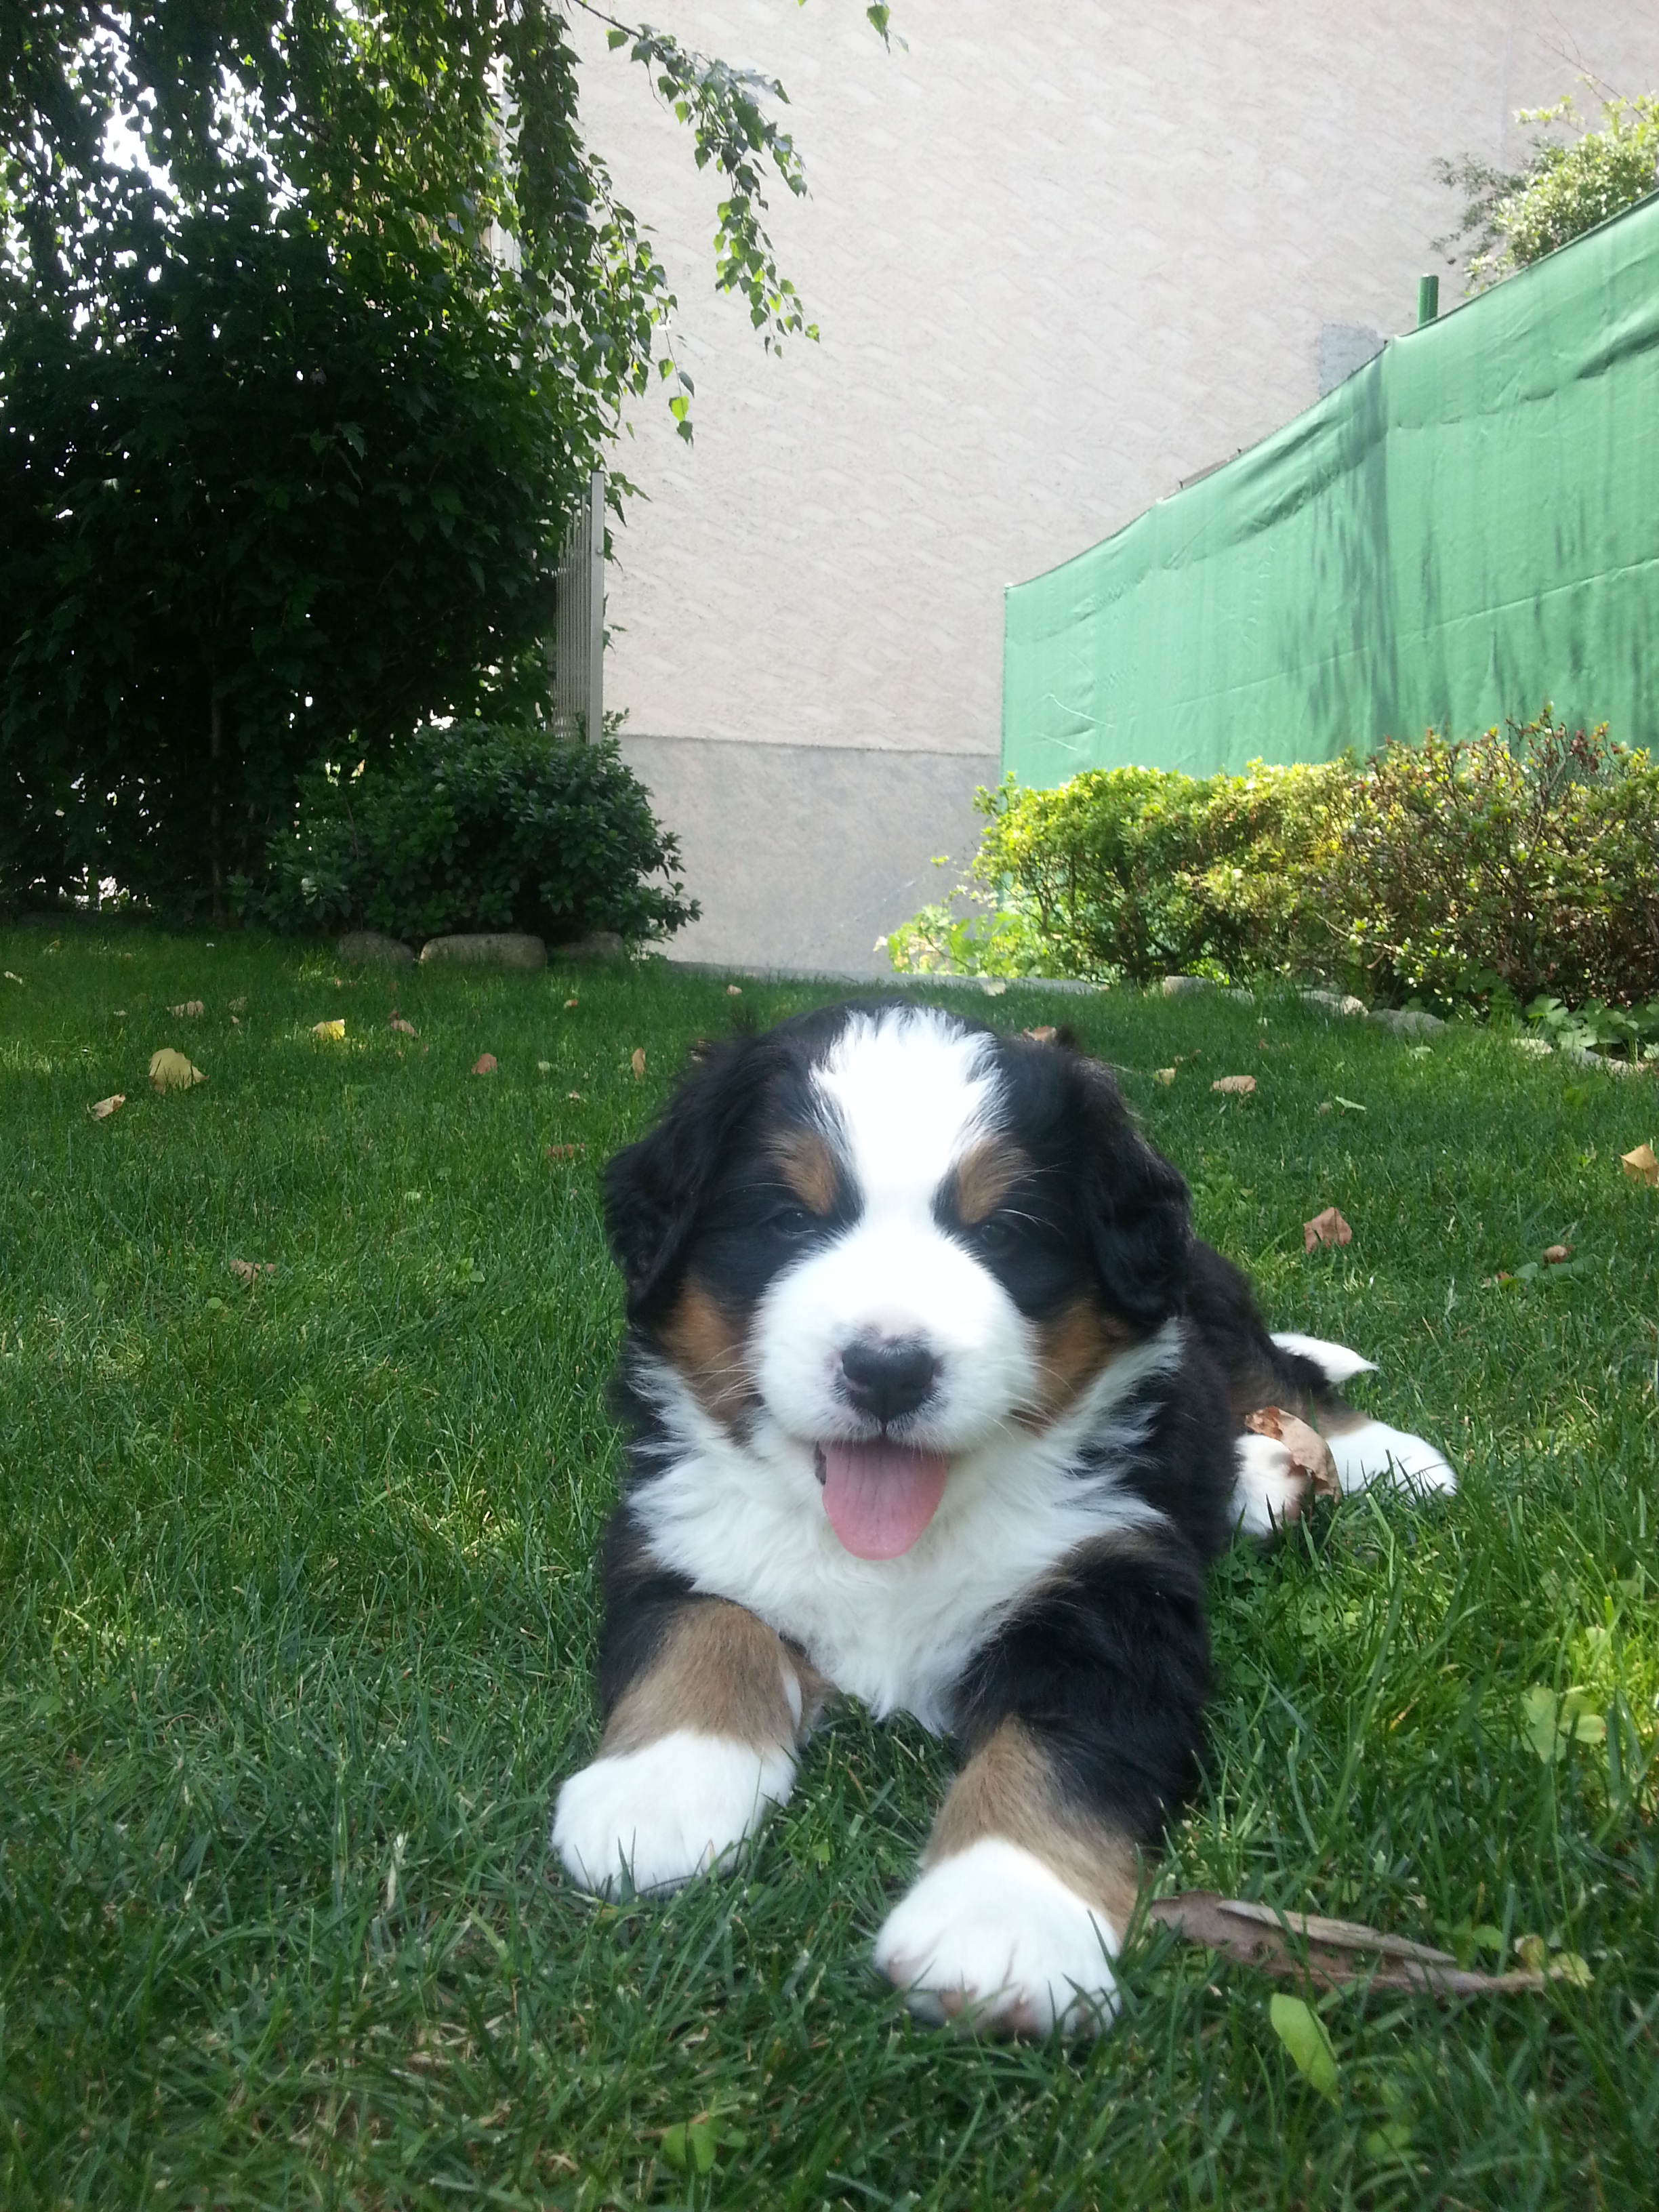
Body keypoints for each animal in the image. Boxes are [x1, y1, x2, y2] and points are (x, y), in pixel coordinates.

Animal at [553, 1004, 1451, 2034]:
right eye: (788, 1219)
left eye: (1008, 1230)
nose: (888, 1369)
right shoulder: (676, 1522)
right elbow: (698, 1625)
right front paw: (657, 1792)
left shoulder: (1113, 1592)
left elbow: (1056, 1753)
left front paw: (1002, 1920)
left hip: (1210, 1302)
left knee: (1281, 1375)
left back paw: (1390, 1458)